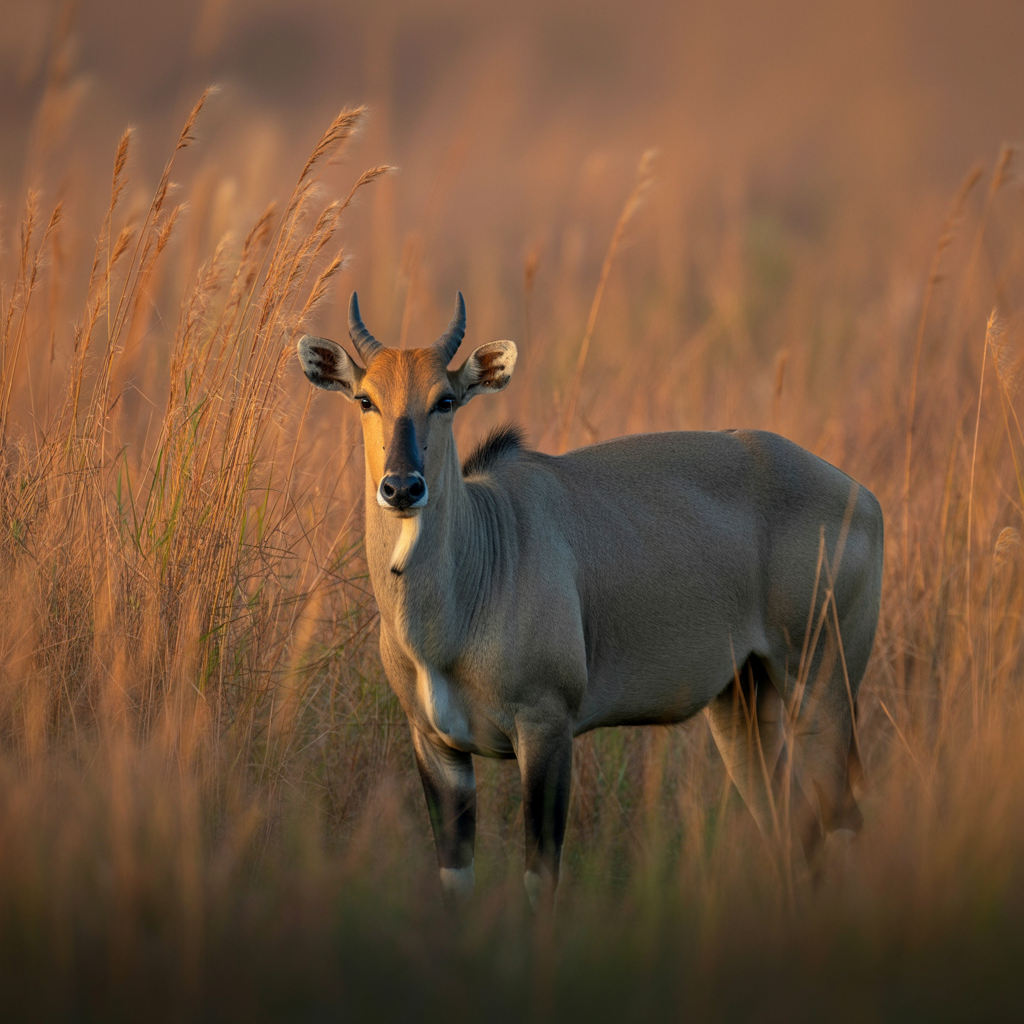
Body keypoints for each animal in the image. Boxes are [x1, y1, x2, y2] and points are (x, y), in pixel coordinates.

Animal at [297, 292, 884, 910]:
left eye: (445, 400)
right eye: (365, 398)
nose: (402, 488)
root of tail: (862, 498)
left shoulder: (547, 730)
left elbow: (541, 878)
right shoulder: (436, 746)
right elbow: (456, 881)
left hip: (821, 684)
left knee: (841, 818)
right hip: (743, 700)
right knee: (790, 824)